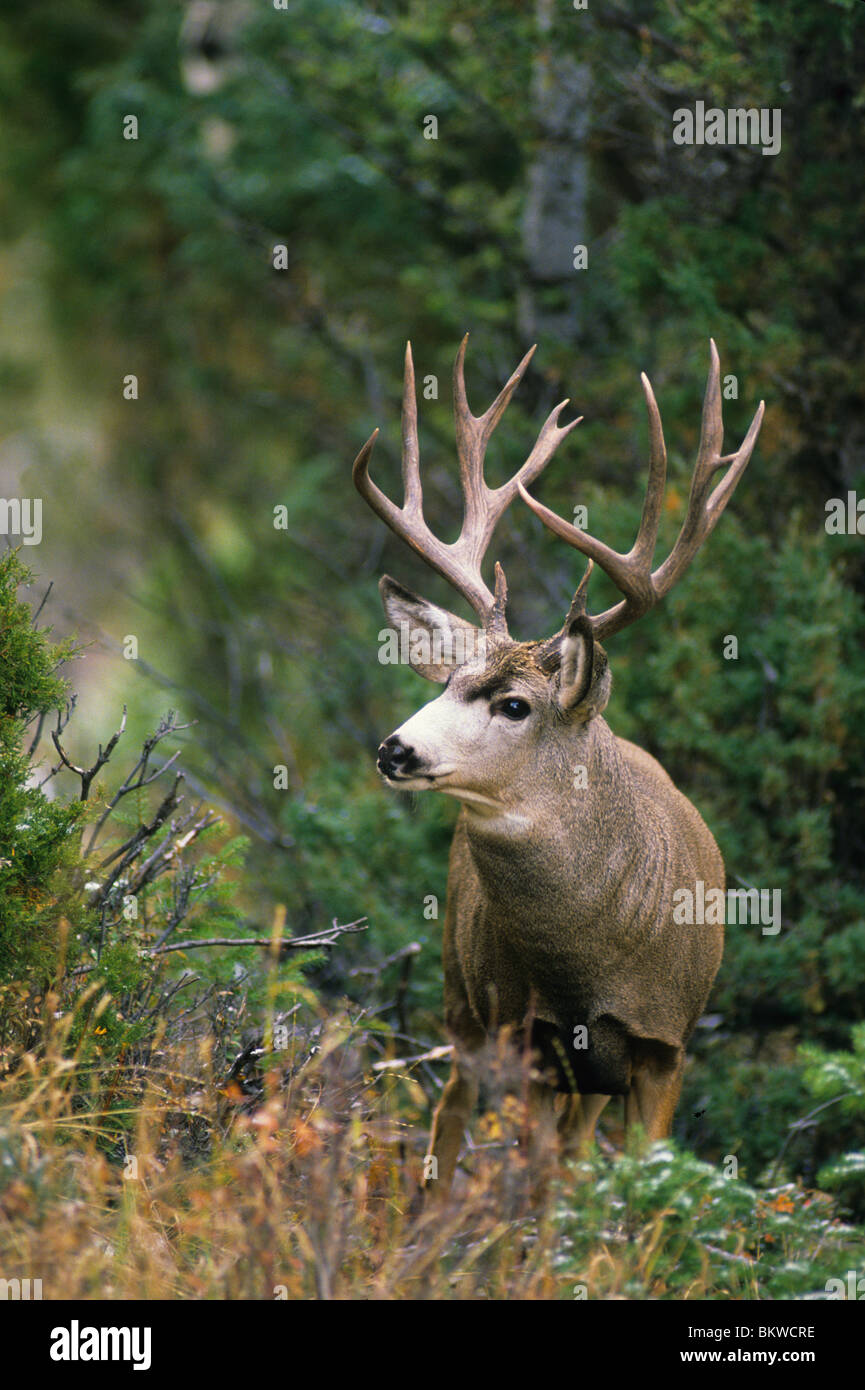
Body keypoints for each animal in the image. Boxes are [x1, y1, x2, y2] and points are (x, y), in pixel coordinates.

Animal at [353, 335, 763, 1192]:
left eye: (514, 705)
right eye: (445, 682)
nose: (394, 748)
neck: (590, 963)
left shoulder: (664, 1045)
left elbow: (635, 1188)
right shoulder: (528, 1038)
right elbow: (536, 1192)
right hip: (462, 998)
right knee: (450, 1116)